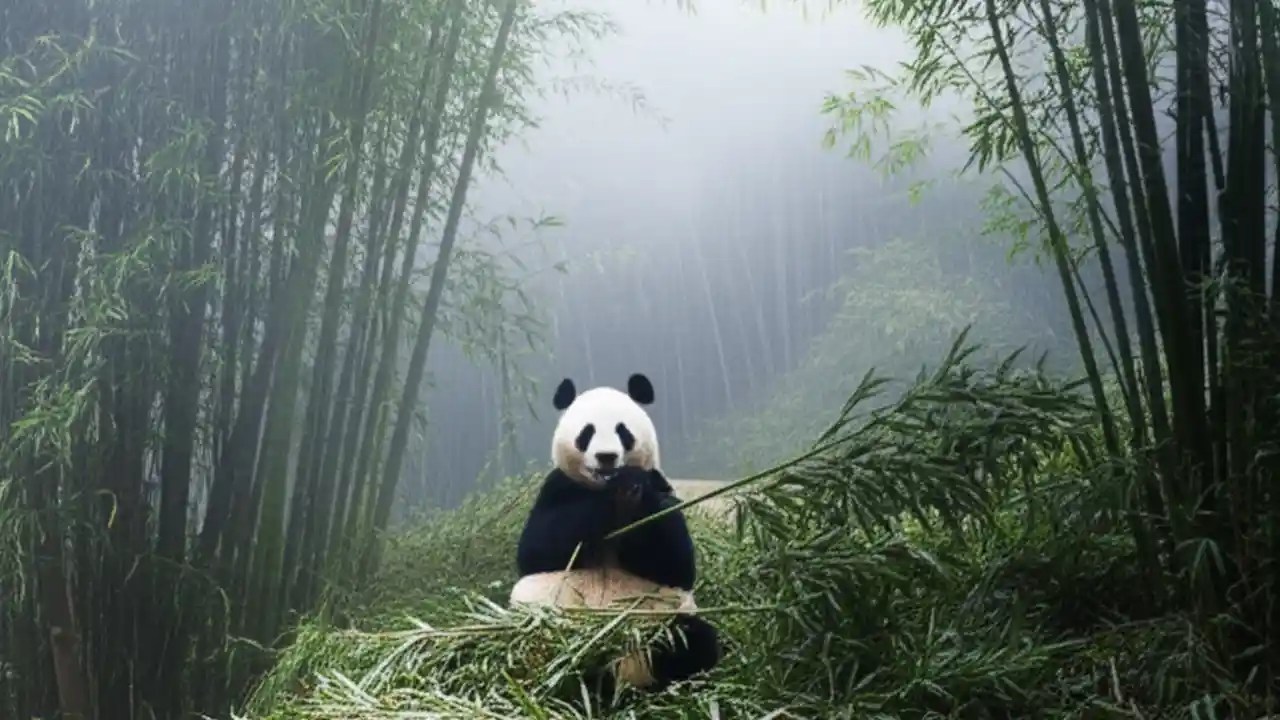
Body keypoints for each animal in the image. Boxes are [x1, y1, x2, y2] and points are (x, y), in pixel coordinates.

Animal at [509, 373, 721, 696]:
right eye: (587, 432)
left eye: (623, 432)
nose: (606, 457)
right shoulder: (557, 488)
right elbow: (538, 547)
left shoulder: (660, 486)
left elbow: (676, 563)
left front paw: (634, 490)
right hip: (542, 628)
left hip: (659, 624)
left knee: (693, 641)